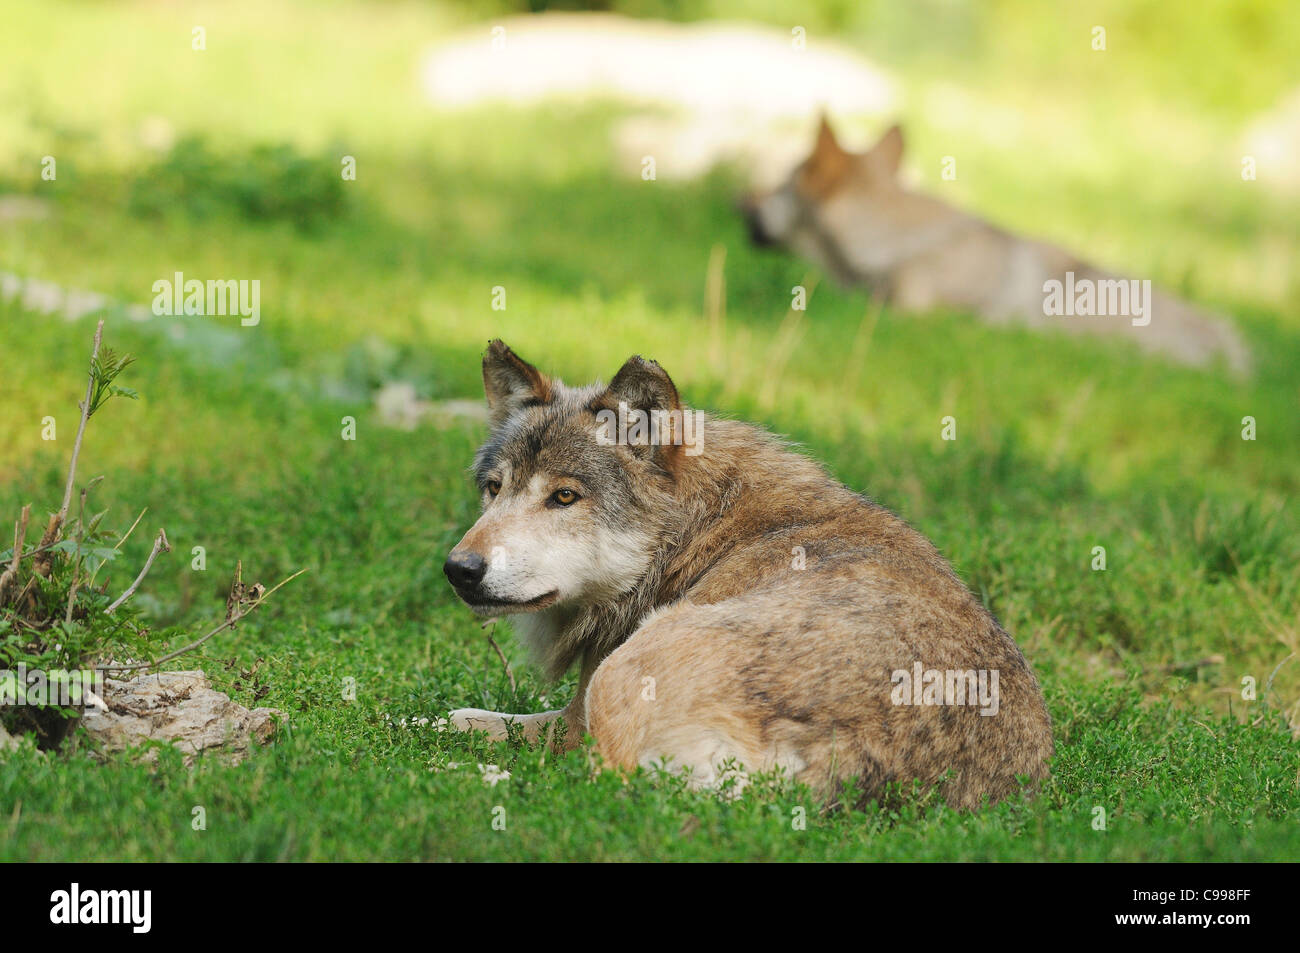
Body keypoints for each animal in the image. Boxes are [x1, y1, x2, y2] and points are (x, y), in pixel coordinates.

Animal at [441, 340, 1053, 809]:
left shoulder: (573, 717)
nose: (459, 570)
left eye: (564, 497)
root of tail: (838, 761)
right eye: (494, 489)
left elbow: (457, 716)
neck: (694, 531)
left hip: (627, 669)